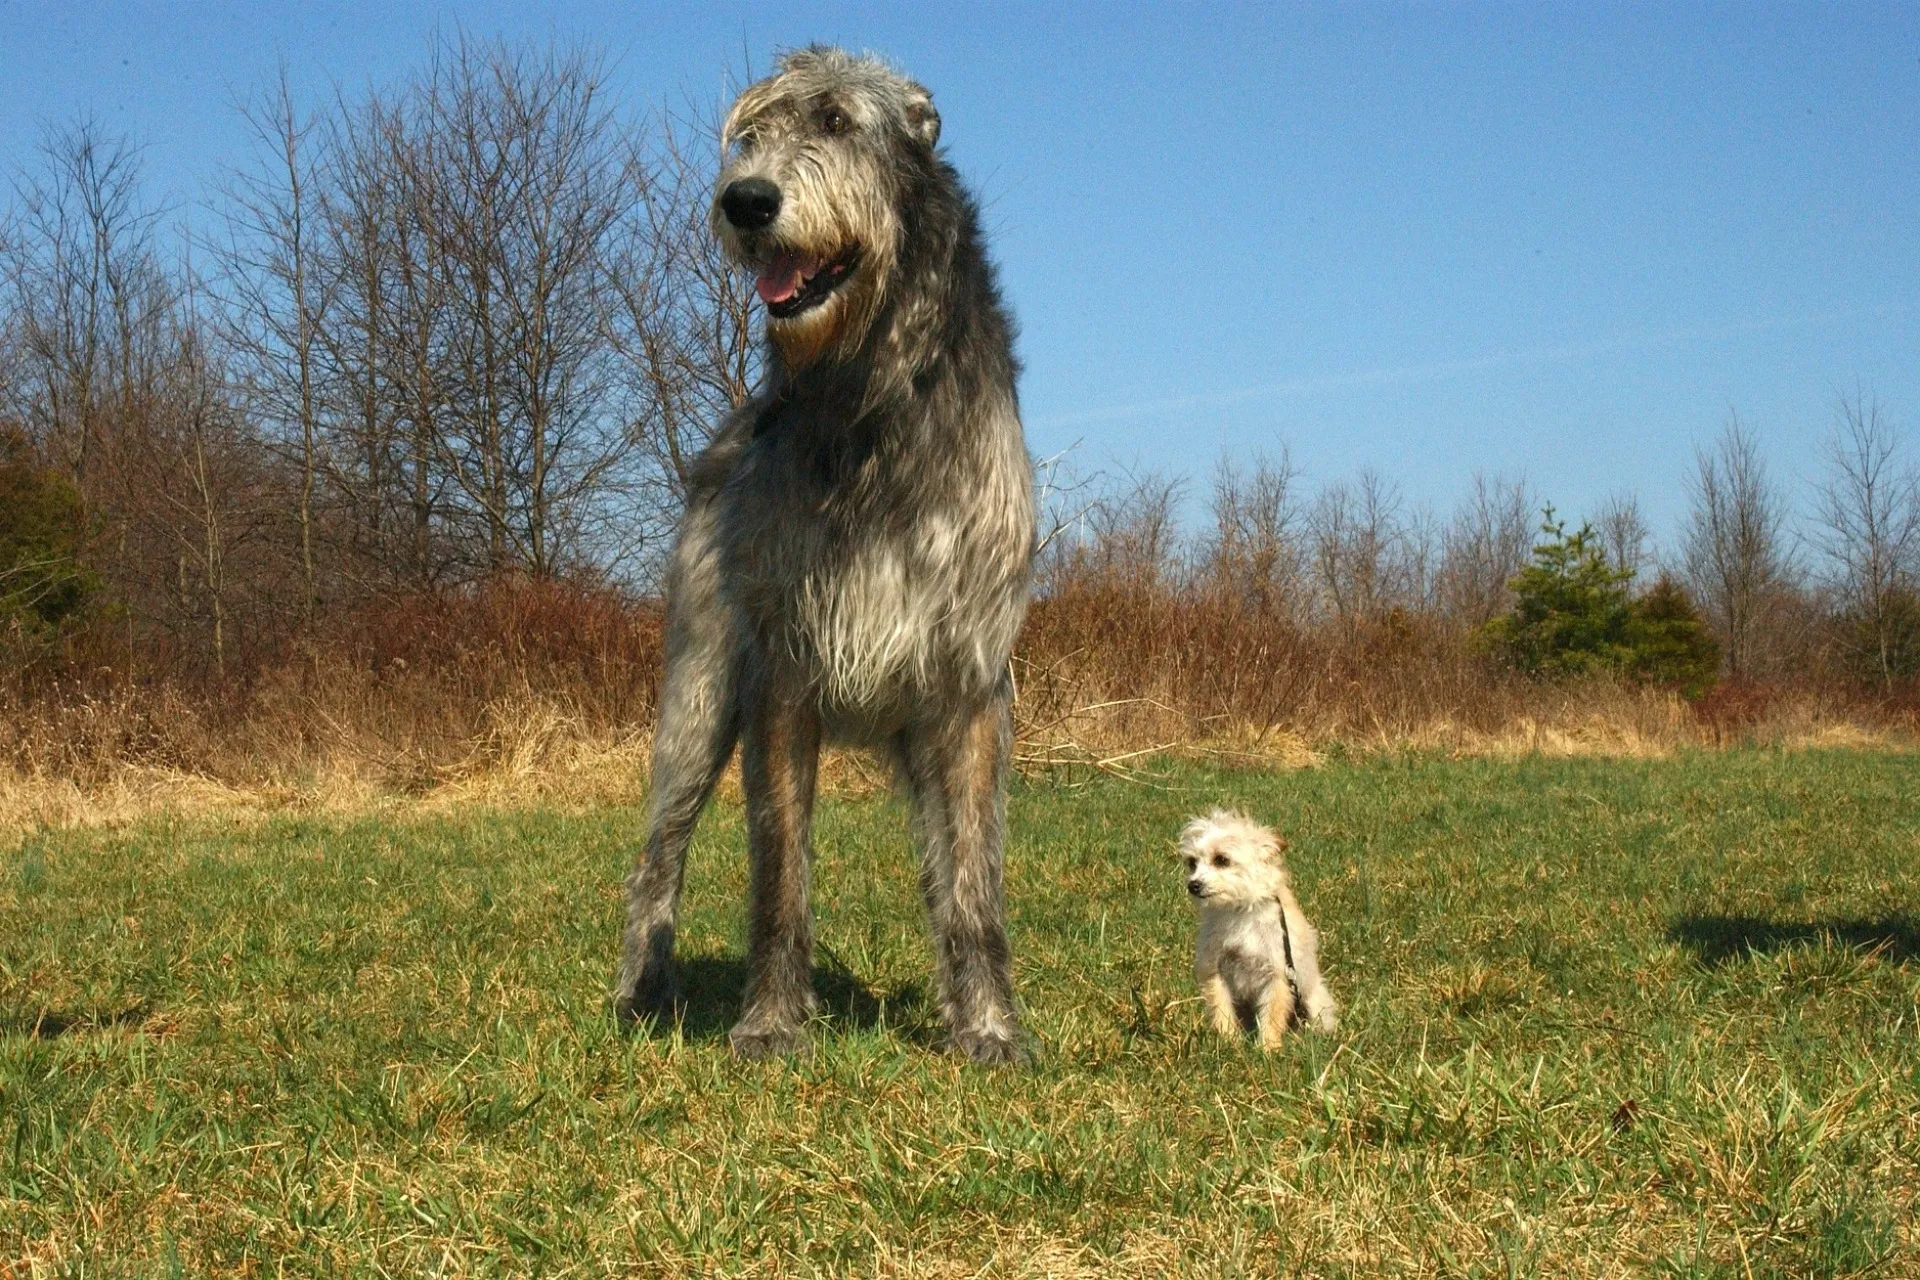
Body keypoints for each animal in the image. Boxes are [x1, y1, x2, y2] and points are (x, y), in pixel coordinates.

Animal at [614, 47, 1036, 1059]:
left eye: (839, 122)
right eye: (750, 136)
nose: (746, 202)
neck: (868, 397)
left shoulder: (970, 686)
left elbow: (974, 883)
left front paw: (989, 1025)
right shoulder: (781, 674)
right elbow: (780, 872)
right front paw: (771, 1023)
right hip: (697, 695)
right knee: (659, 853)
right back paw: (644, 988)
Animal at [1175, 809, 1344, 1051]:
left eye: (1222, 860)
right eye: (1192, 863)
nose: (1193, 885)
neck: (1239, 911)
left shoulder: (1278, 973)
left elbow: (1272, 1013)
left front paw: (1268, 1049)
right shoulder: (1214, 970)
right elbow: (1221, 1009)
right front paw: (1228, 1042)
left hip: (1314, 1001)